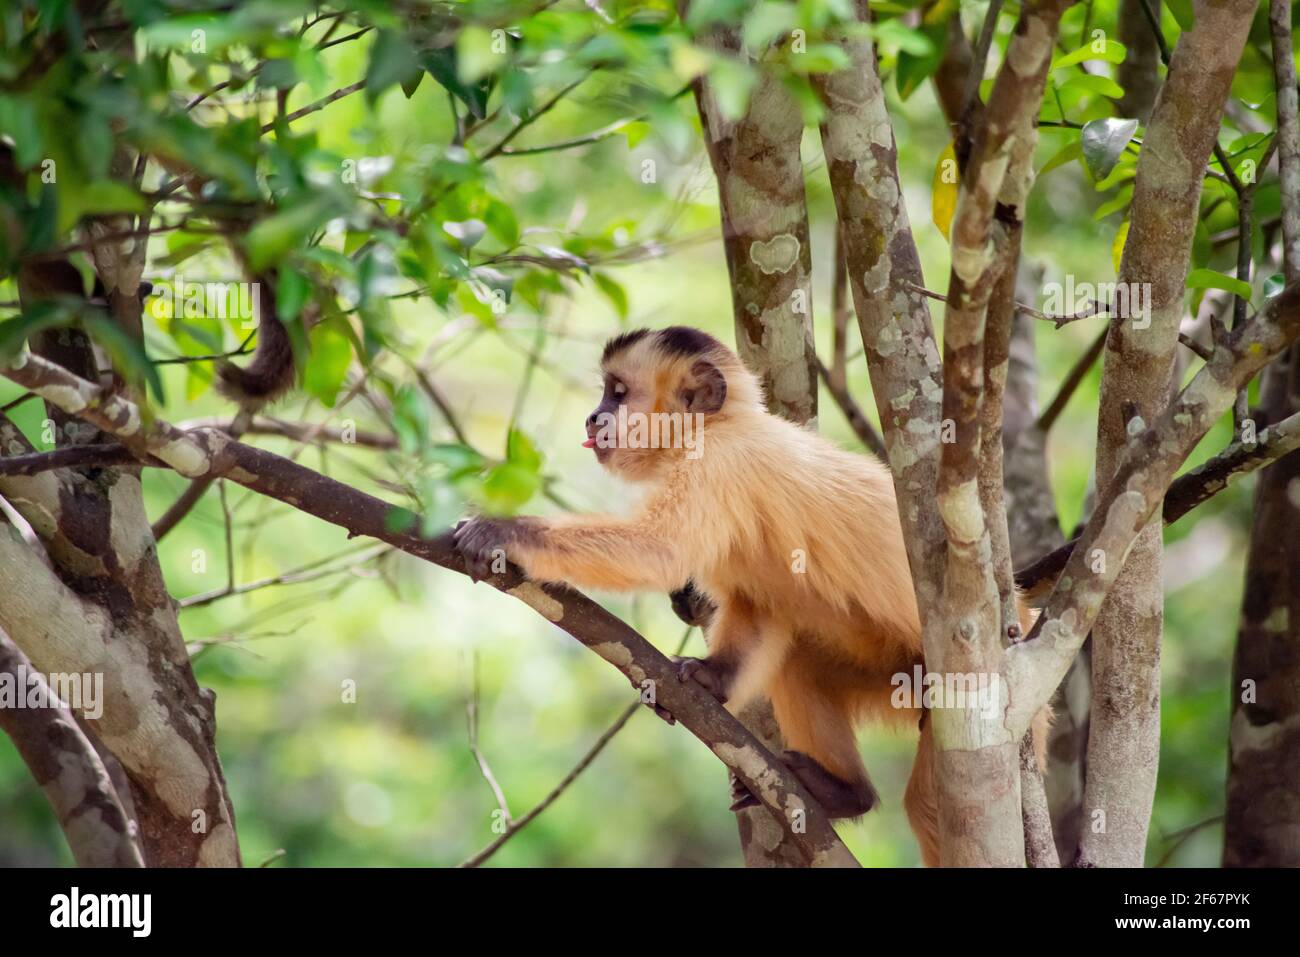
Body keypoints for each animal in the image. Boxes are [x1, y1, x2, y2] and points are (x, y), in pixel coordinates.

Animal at [455, 325, 1047, 865]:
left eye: (617, 393)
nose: (592, 417)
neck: (718, 426)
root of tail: (1018, 616)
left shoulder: (715, 464)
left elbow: (658, 551)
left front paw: (504, 535)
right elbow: (759, 609)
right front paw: (711, 679)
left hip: (999, 697)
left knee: (931, 802)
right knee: (800, 661)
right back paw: (843, 792)